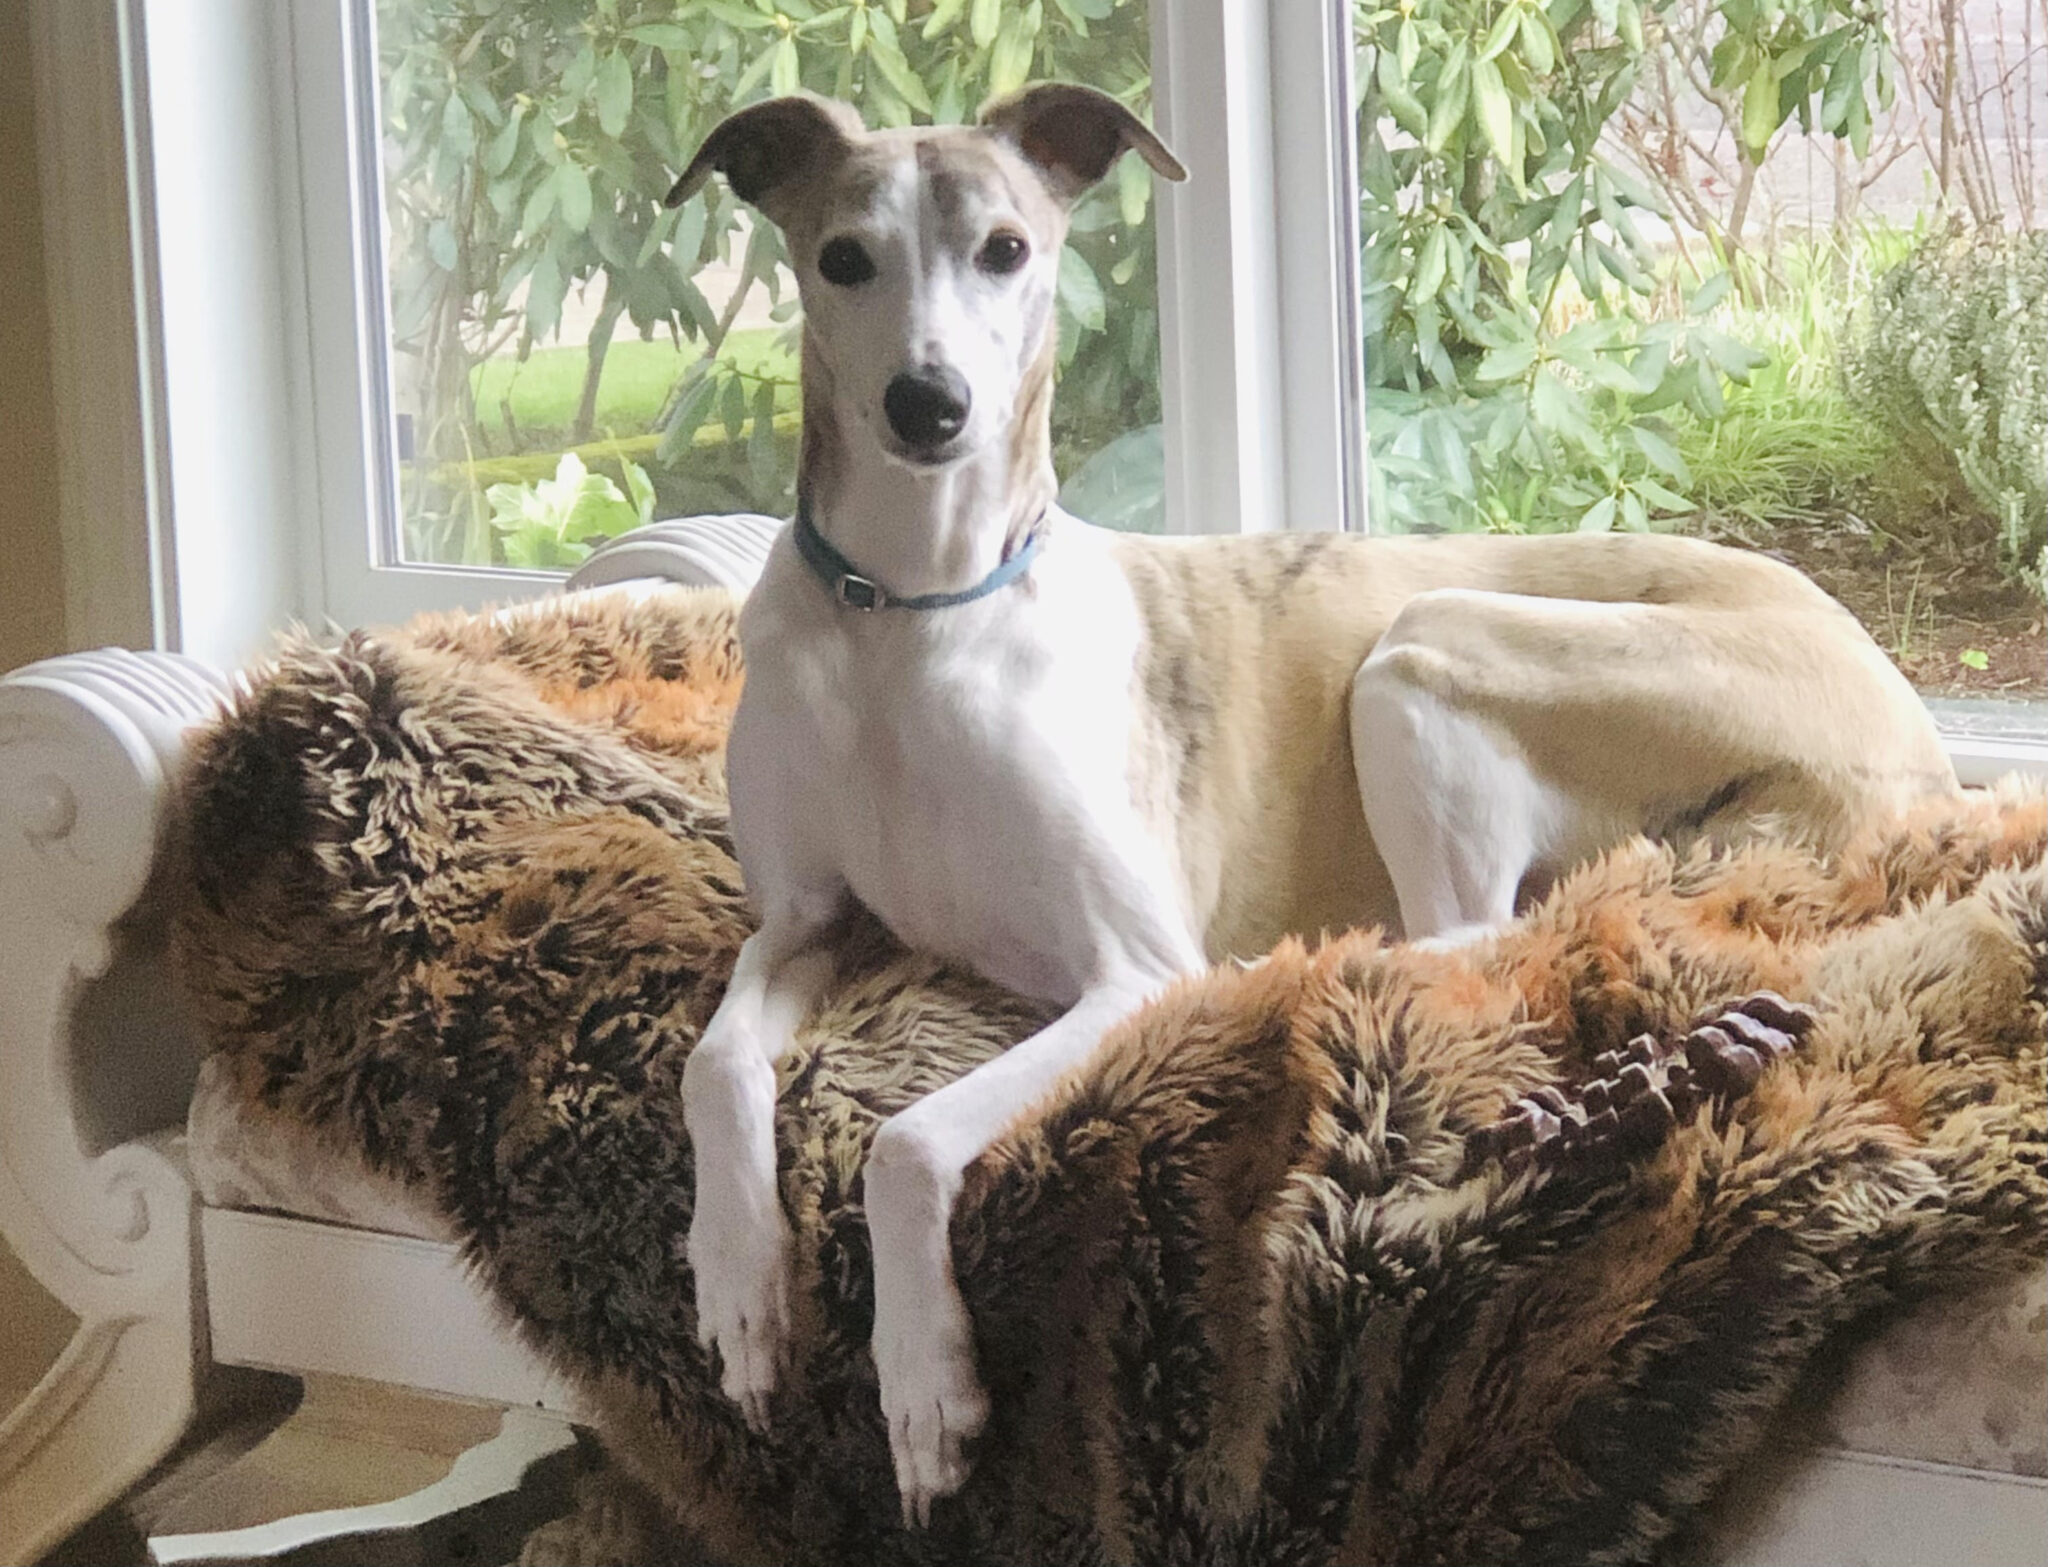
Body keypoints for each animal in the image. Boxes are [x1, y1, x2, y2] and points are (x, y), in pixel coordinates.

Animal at [664, 84, 1958, 1523]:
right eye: (843, 257)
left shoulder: (1128, 967)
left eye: (1005, 249)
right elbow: (711, 1059)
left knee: (1471, 929)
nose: (929, 403)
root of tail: (1911, 749)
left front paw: (924, 1386)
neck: (911, 612)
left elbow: (902, 1141)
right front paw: (738, 1297)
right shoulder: (807, 920)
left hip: (1423, 640)